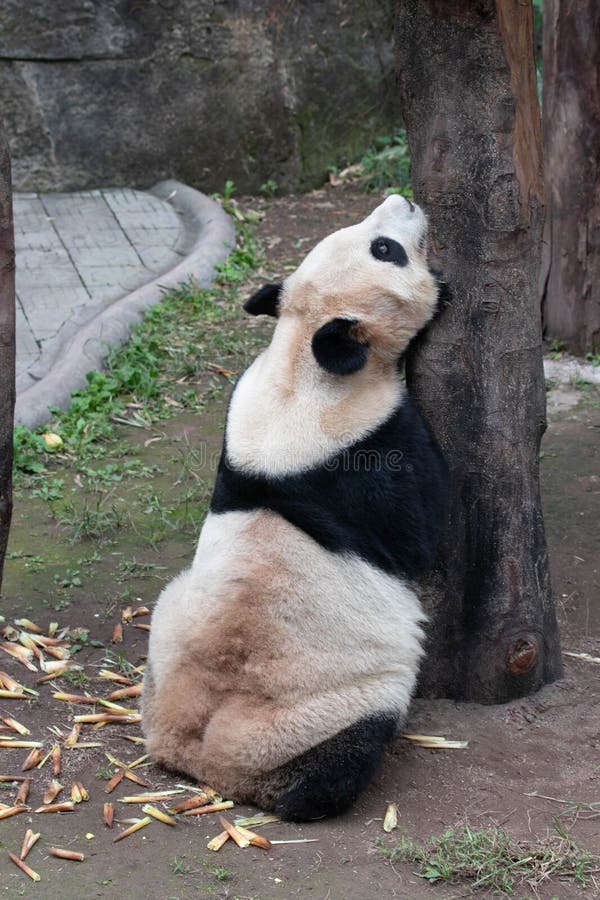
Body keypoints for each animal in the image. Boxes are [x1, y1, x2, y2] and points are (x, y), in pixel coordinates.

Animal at [142, 193, 448, 822]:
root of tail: (200, 759)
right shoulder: (363, 450)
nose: (403, 200)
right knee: (342, 750)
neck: (303, 366)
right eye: (386, 249)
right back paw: (313, 794)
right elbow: (418, 527)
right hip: (327, 708)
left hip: (166, 629)